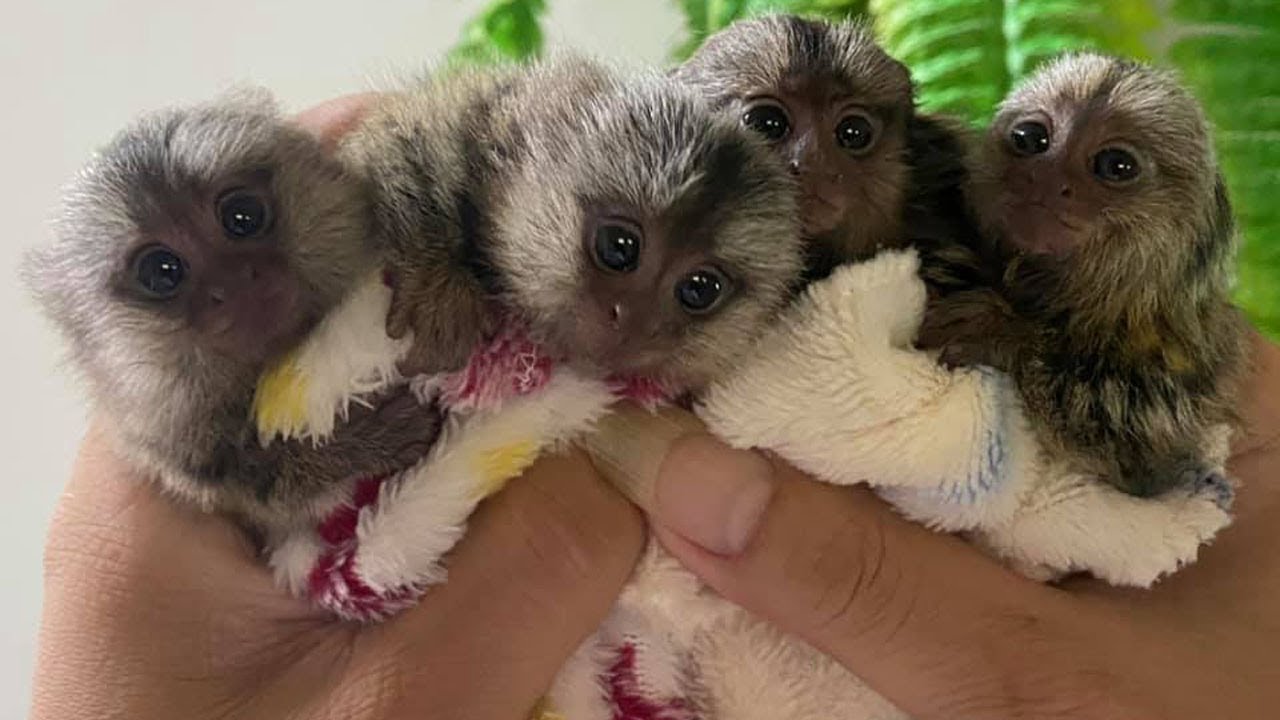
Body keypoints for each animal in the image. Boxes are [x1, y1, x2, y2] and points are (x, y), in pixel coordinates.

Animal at [345, 57, 803, 394]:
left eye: (699, 288)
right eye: (618, 246)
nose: (633, 322)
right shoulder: (470, 111)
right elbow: (397, 140)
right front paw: (438, 285)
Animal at [916, 53, 1248, 497]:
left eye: (1116, 165)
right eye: (1030, 138)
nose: (1048, 178)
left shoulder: (1185, 350)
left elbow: (1136, 457)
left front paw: (1003, 331)